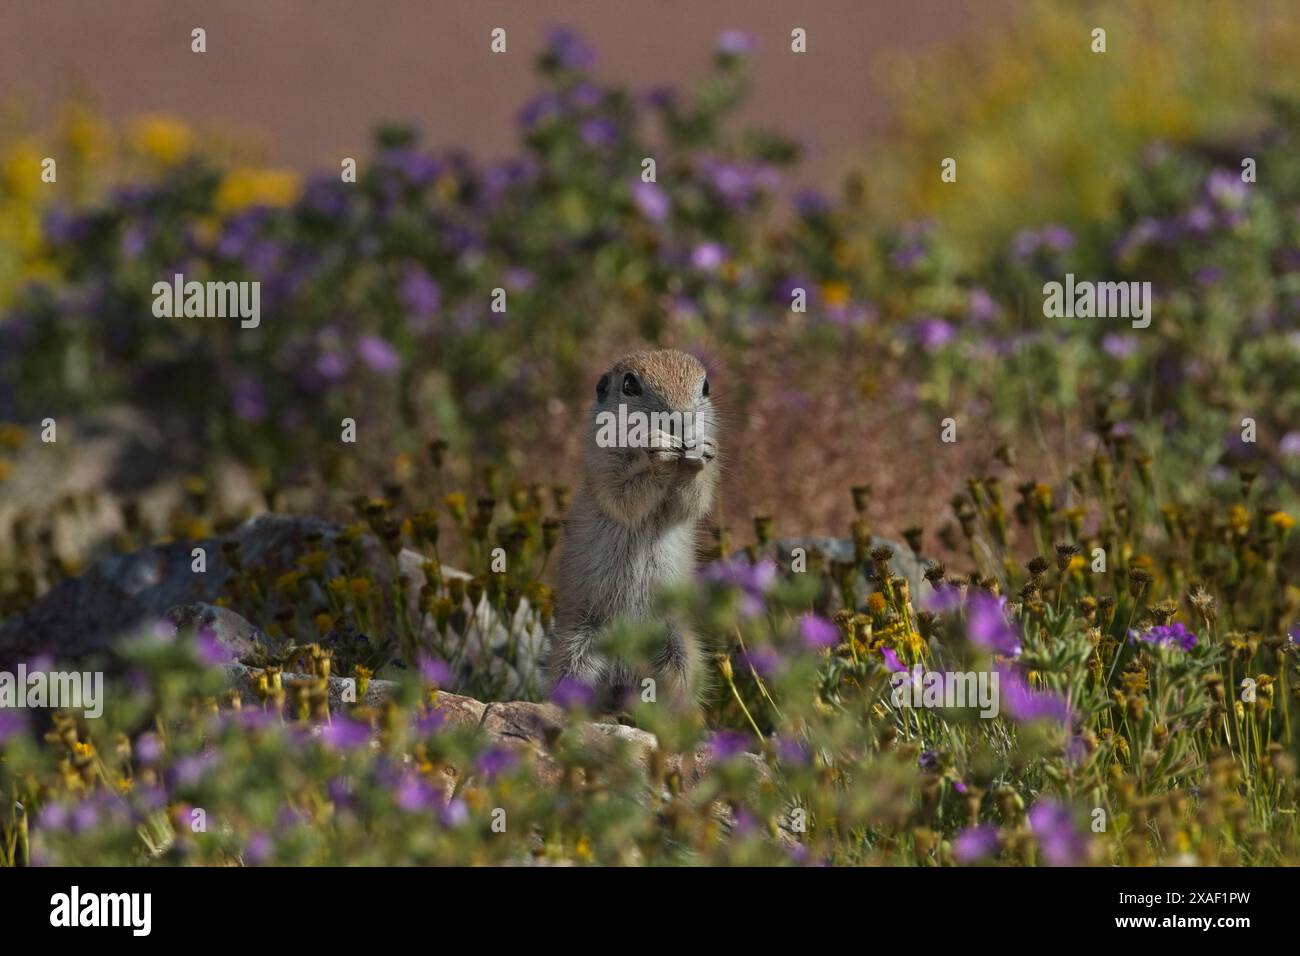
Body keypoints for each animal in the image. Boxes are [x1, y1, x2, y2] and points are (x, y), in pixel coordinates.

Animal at [546, 349, 719, 711]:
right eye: (630, 385)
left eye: (706, 386)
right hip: (576, 646)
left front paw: (699, 452)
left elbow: (692, 500)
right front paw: (659, 453)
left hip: (680, 650)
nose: (681, 422)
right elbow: (625, 494)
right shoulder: (604, 470)